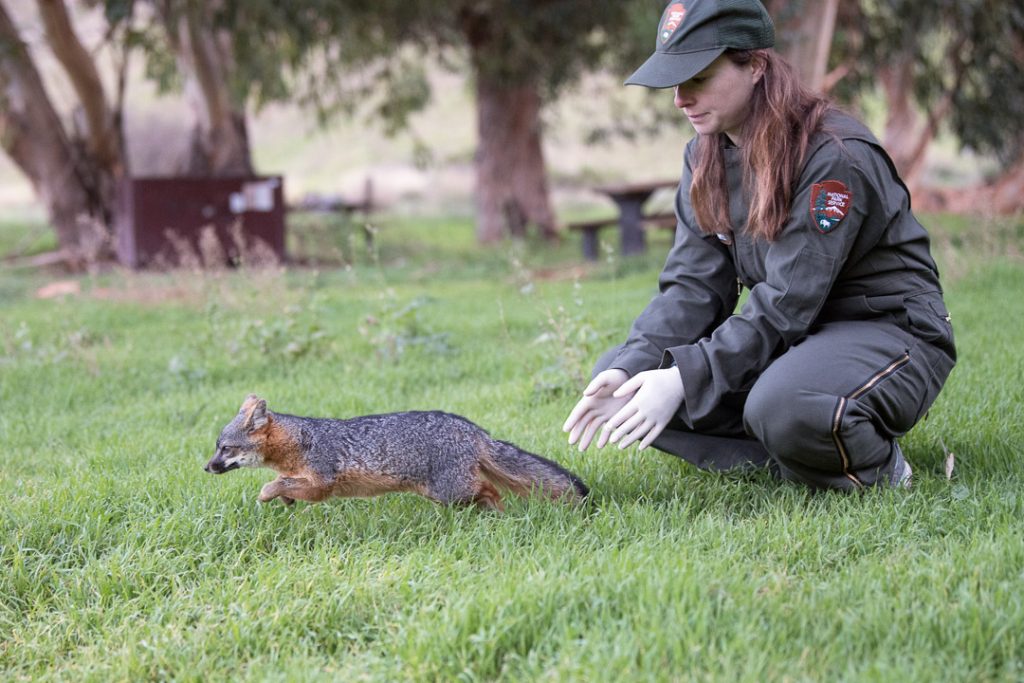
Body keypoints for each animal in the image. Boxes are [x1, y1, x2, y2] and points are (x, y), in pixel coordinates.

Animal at [204, 395, 589, 511]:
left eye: (225, 449)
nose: (207, 467)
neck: (302, 441)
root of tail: (472, 429)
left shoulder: (323, 486)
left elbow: (275, 484)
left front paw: (268, 494)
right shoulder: (303, 479)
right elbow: (285, 482)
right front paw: (282, 498)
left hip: (450, 491)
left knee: (490, 490)